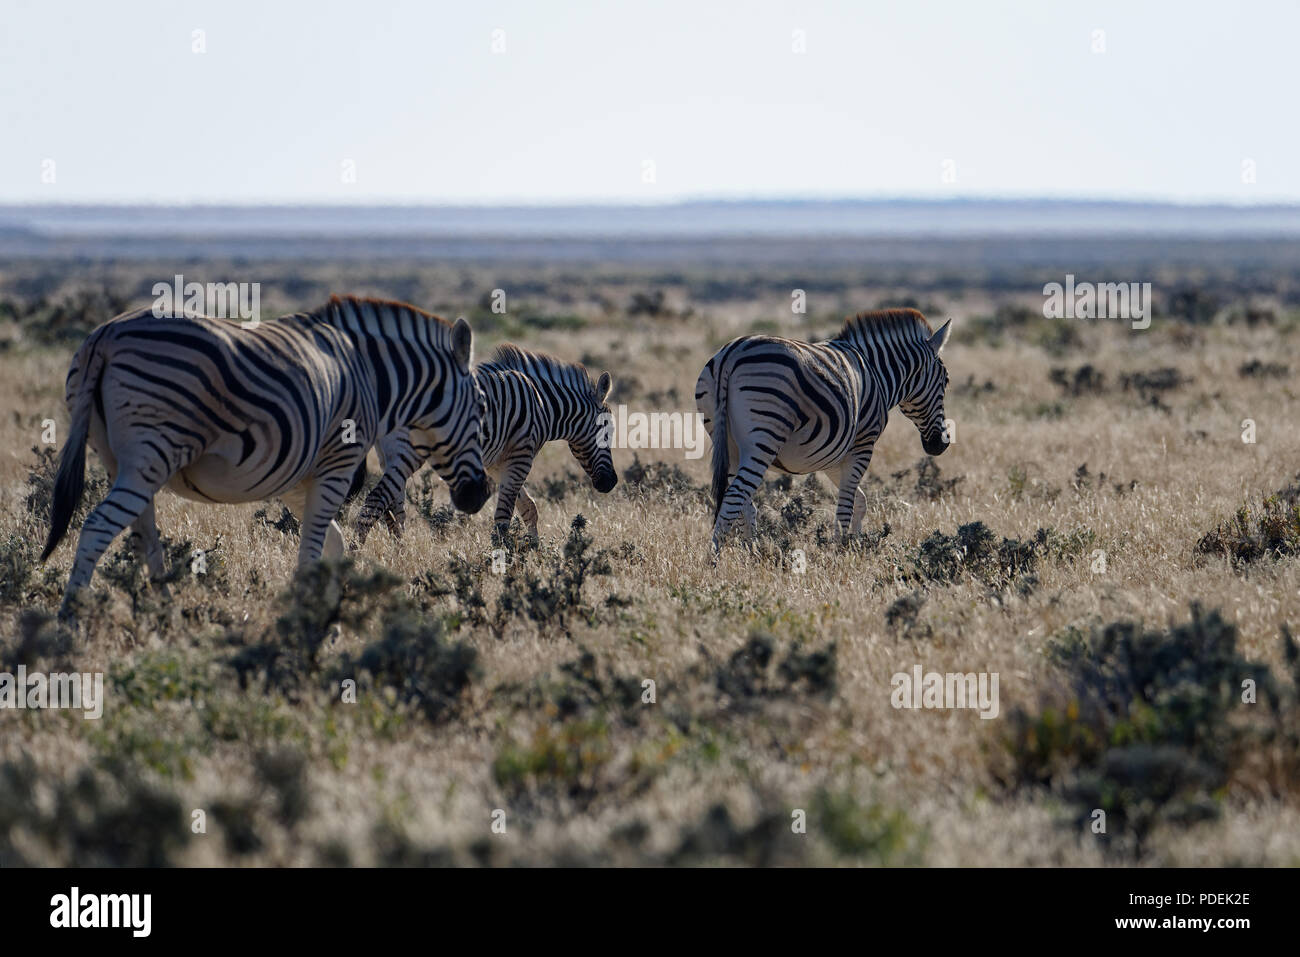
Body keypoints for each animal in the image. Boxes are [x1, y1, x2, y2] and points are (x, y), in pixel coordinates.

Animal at [40, 294, 491, 620]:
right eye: (482, 408)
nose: (480, 495)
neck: (371, 378)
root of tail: (106, 335)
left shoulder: (298, 479)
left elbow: (334, 544)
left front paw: (327, 615)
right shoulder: (336, 467)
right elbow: (313, 551)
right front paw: (304, 623)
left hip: (119, 459)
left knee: (143, 536)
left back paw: (165, 615)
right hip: (152, 454)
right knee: (98, 527)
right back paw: (70, 623)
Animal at [695, 308, 953, 550]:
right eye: (946, 381)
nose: (942, 444)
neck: (878, 374)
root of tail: (730, 354)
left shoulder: (834, 457)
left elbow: (860, 501)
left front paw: (856, 545)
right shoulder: (862, 446)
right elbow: (845, 507)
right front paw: (841, 551)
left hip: (728, 444)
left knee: (744, 505)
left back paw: (753, 553)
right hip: (763, 439)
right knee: (734, 497)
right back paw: (714, 560)